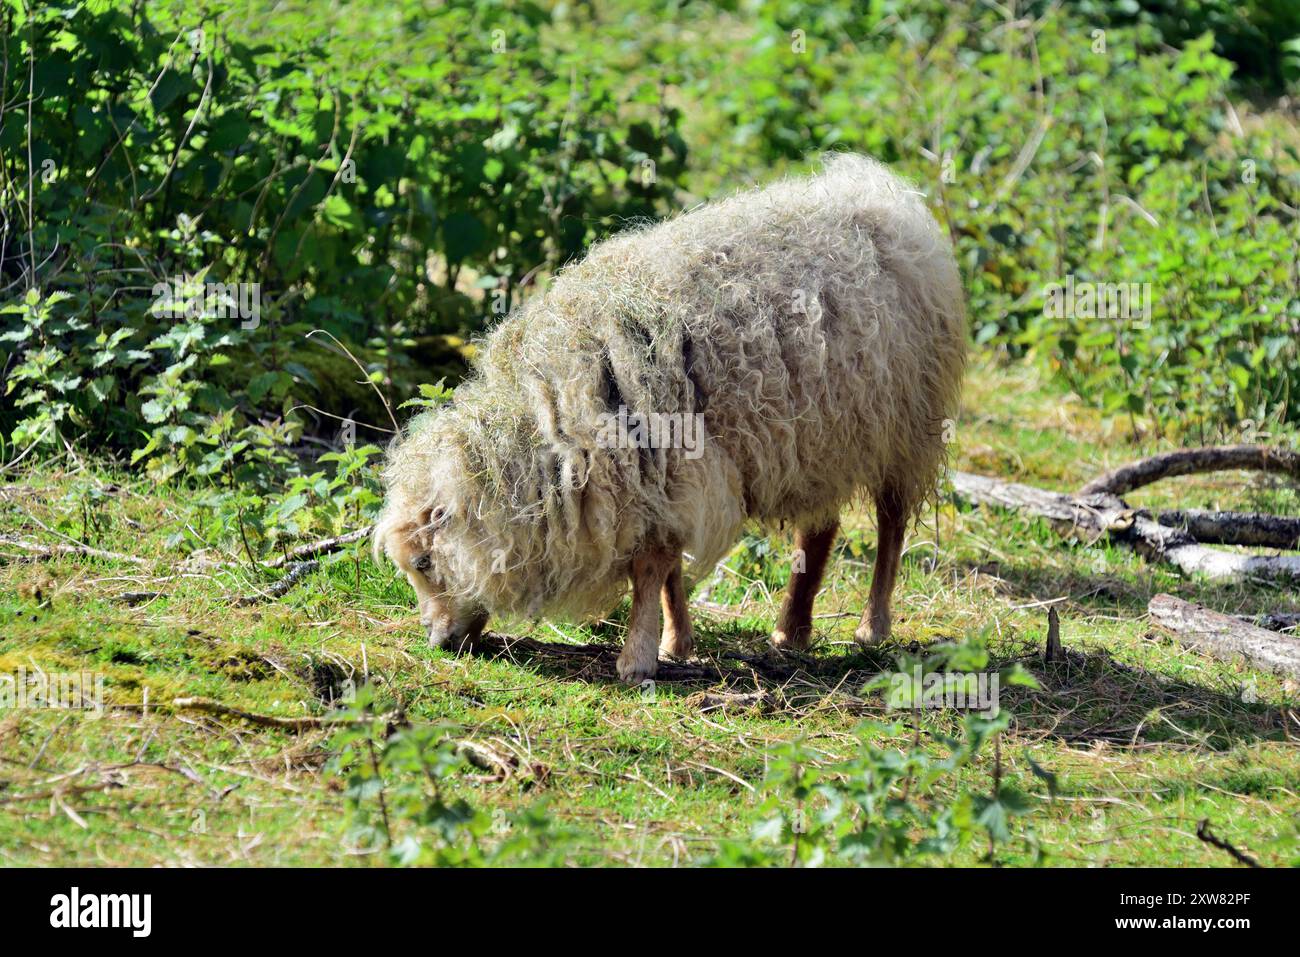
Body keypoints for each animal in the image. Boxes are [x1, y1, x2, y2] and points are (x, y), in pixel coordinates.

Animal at [375, 153, 966, 684]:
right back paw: (791, 631)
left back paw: (872, 626)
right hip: (824, 436)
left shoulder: (671, 469)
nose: (438, 642)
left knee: (891, 524)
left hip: (906, 426)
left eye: (425, 563)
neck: (553, 415)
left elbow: (651, 568)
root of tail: (881, 191)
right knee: (819, 529)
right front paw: (675, 642)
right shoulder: (658, 479)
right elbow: (667, 572)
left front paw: (637, 661)